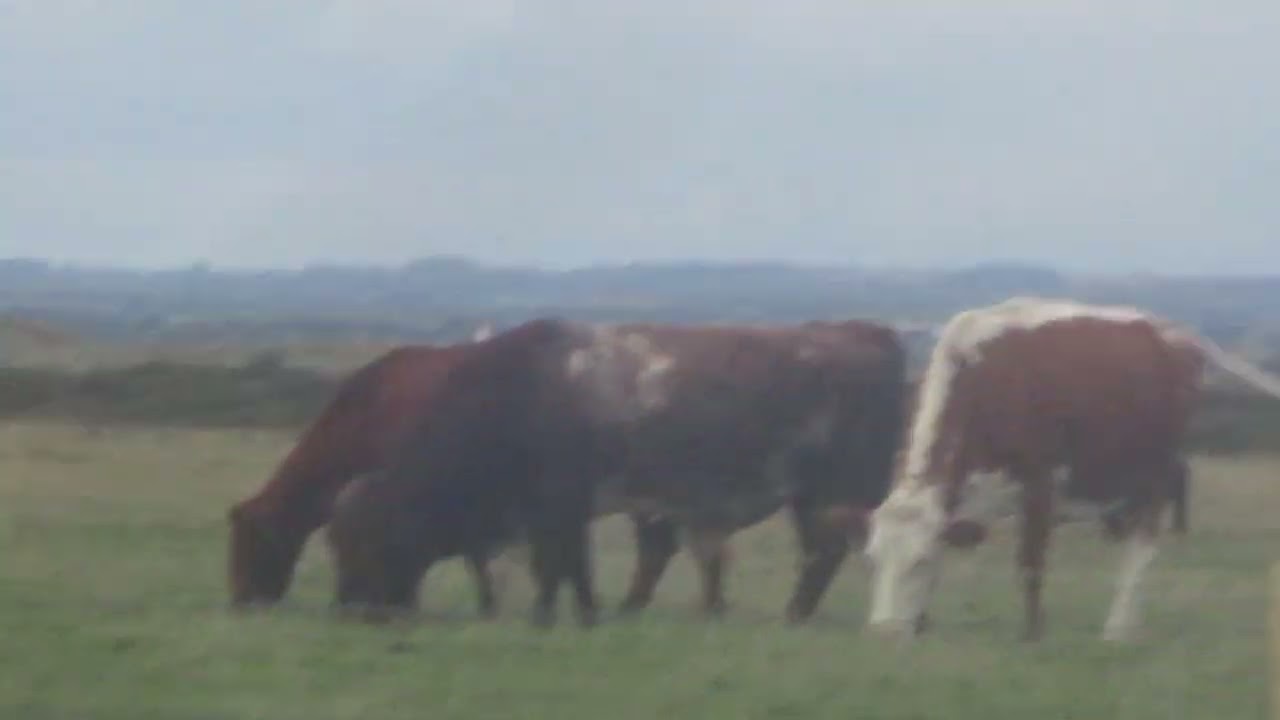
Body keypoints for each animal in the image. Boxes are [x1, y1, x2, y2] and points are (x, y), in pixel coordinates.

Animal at [327, 317, 908, 627]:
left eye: (367, 539)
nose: (351, 608)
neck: (521, 392)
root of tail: (862, 332)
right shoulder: (568, 511)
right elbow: (572, 564)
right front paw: (584, 613)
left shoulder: (557, 507)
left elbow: (555, 563)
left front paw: (549, 615)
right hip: (810, 501)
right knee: (819, 555)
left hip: (831, 495)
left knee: (826, 554)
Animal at [862, 296, 1280, 642]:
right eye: (874, 559)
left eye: (916, 563)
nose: (884, 631)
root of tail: (1171, 330)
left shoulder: (1039, 482)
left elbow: (1030, 562)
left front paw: (1032, 634)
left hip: (1155, 474)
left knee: (1141, 548)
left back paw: (1118, 628)